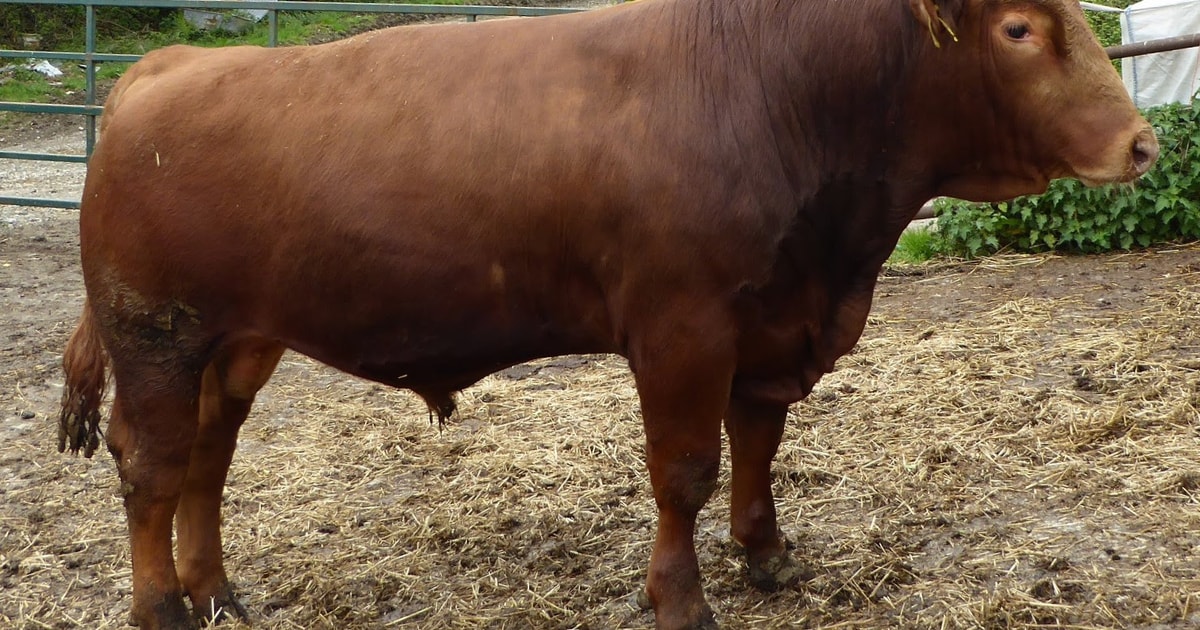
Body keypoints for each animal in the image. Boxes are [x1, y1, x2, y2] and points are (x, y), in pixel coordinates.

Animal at [58, 0, 1156, 628]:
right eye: (1018, 29)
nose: (1143, 144)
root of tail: (166, 66)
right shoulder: (682, 328)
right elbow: (686, 470)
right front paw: (680, 598)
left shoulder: (771, 323)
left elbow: (758, 442)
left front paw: (766, 554)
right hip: (155, 332)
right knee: (151, 468)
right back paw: (162, 607)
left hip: (237, 341)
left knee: (208, 457)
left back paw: (213, 592)